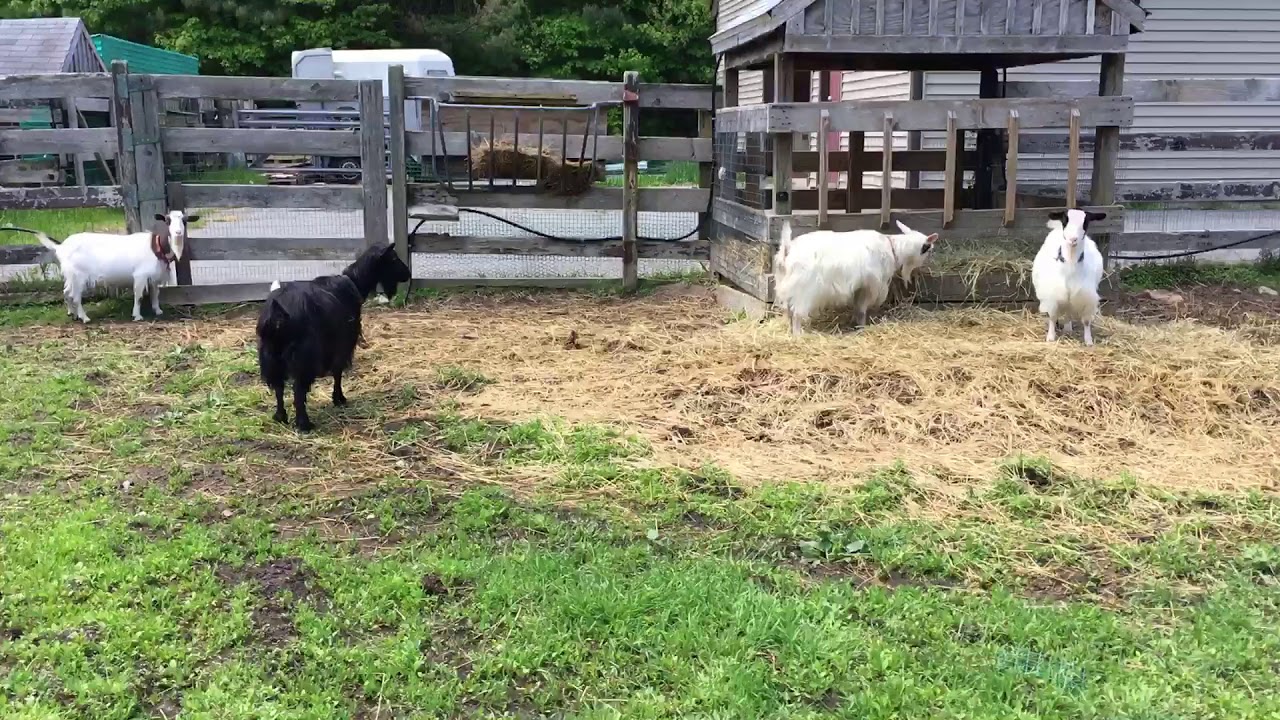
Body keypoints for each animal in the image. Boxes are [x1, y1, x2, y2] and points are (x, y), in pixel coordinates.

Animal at [5, 211, 197, 323]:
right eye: (167, 220)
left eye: (185, 221)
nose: (178, 233)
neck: (156, 246)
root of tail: (61, 248)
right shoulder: (140, 275)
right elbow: (139, 296)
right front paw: (137, 315)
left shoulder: (154, 277)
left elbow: (155, 294)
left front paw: (157, 311)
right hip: (79, 276)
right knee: (75, 296)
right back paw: (84, 317)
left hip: (70, 275)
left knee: (66, 292)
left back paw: (71, 313)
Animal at [256, 242, 411, 432]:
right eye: (394, 258)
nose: (408, 274)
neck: (353, 283)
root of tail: (276, 316)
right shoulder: (344, 342)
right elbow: (338, 371)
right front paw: (339, 398)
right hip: (304, 356)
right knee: (298, 389)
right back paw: (304, 424)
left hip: (271, 356)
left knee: (278, 386)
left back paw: (280, 417)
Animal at [773, 219, 938, 335]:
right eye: (929, 249)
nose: (931, 260)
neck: (892, 248)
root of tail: (788, 249)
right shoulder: (869, 286)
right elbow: (861, 309)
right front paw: (861, 327)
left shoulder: (859, 287)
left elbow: (857, 306)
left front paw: (854, 323)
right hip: (804, 289)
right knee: (797, 313)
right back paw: (798, 334)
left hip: (787, 286)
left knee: (789, 311)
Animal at [1031, 208, 1107, 346]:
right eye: (1065, 220)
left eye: (1086, 222)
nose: (1073, 239)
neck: (1070, 266)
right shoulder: (1053, 295)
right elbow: (1052, 316)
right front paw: (1050, 337)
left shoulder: (1086, 297)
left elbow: (1086, 321)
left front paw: (1088, 341)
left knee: (1068, 311)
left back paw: (1068, 328)